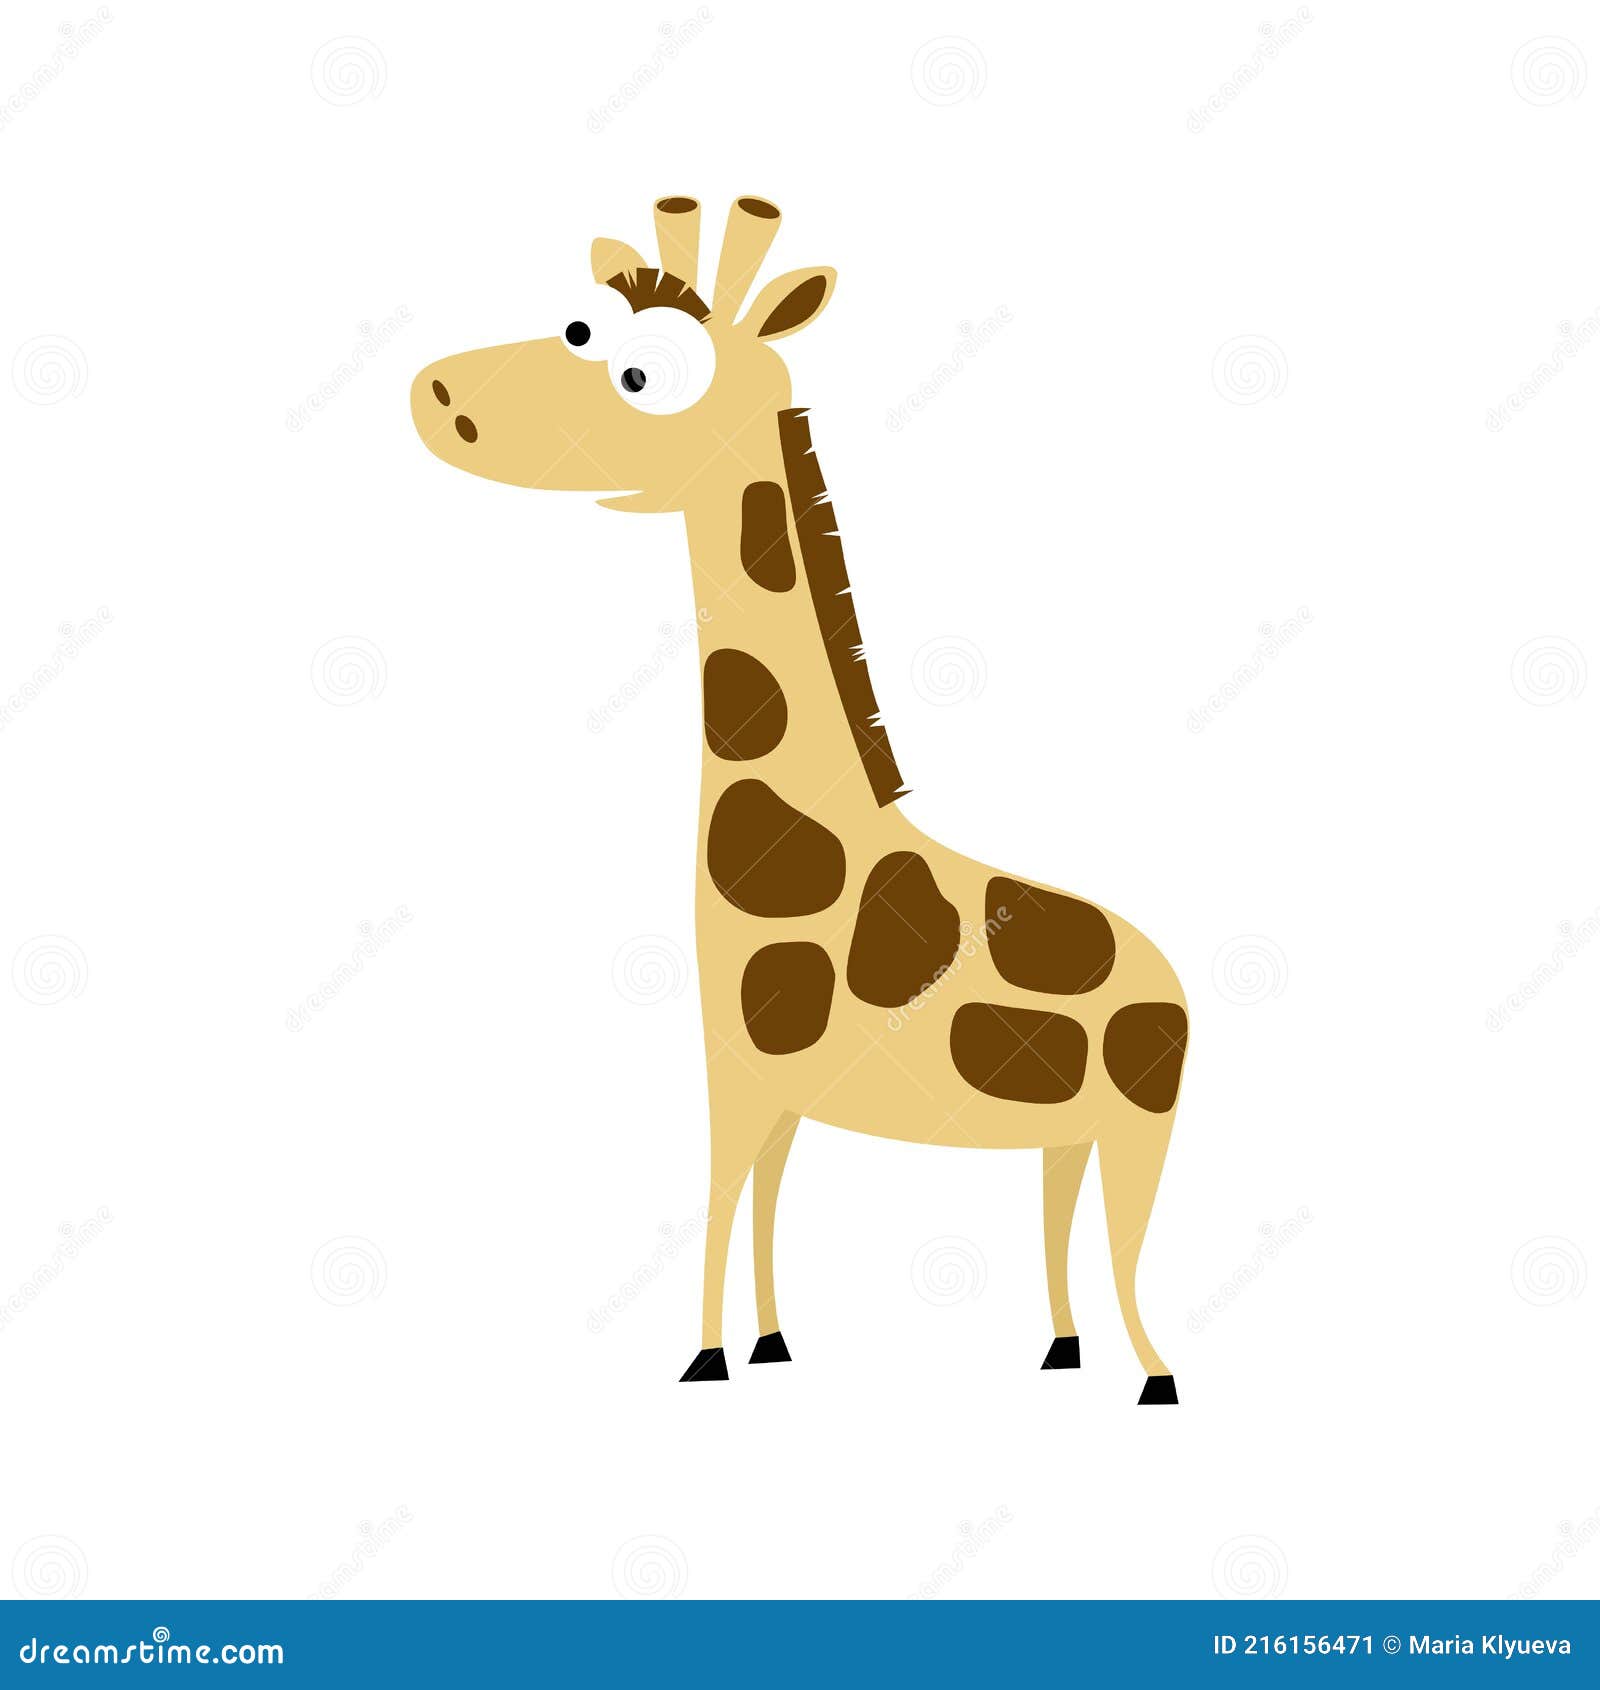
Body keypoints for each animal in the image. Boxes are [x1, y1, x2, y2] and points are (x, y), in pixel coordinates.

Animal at [410, 196, 1190, 1404]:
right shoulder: (773, 1084)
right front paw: (769, 1344)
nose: (439, 398)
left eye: (640, 373)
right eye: (578, 322)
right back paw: (1061, 1353)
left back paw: (1154, 1376)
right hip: (1074, 1129)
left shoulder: (737, 1071)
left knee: (1125, 1244)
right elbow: (767, 1197)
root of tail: (1182, 993)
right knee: (1064, 1223)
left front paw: (704, 1358)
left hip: (1144, 1126)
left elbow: (725, 1193)